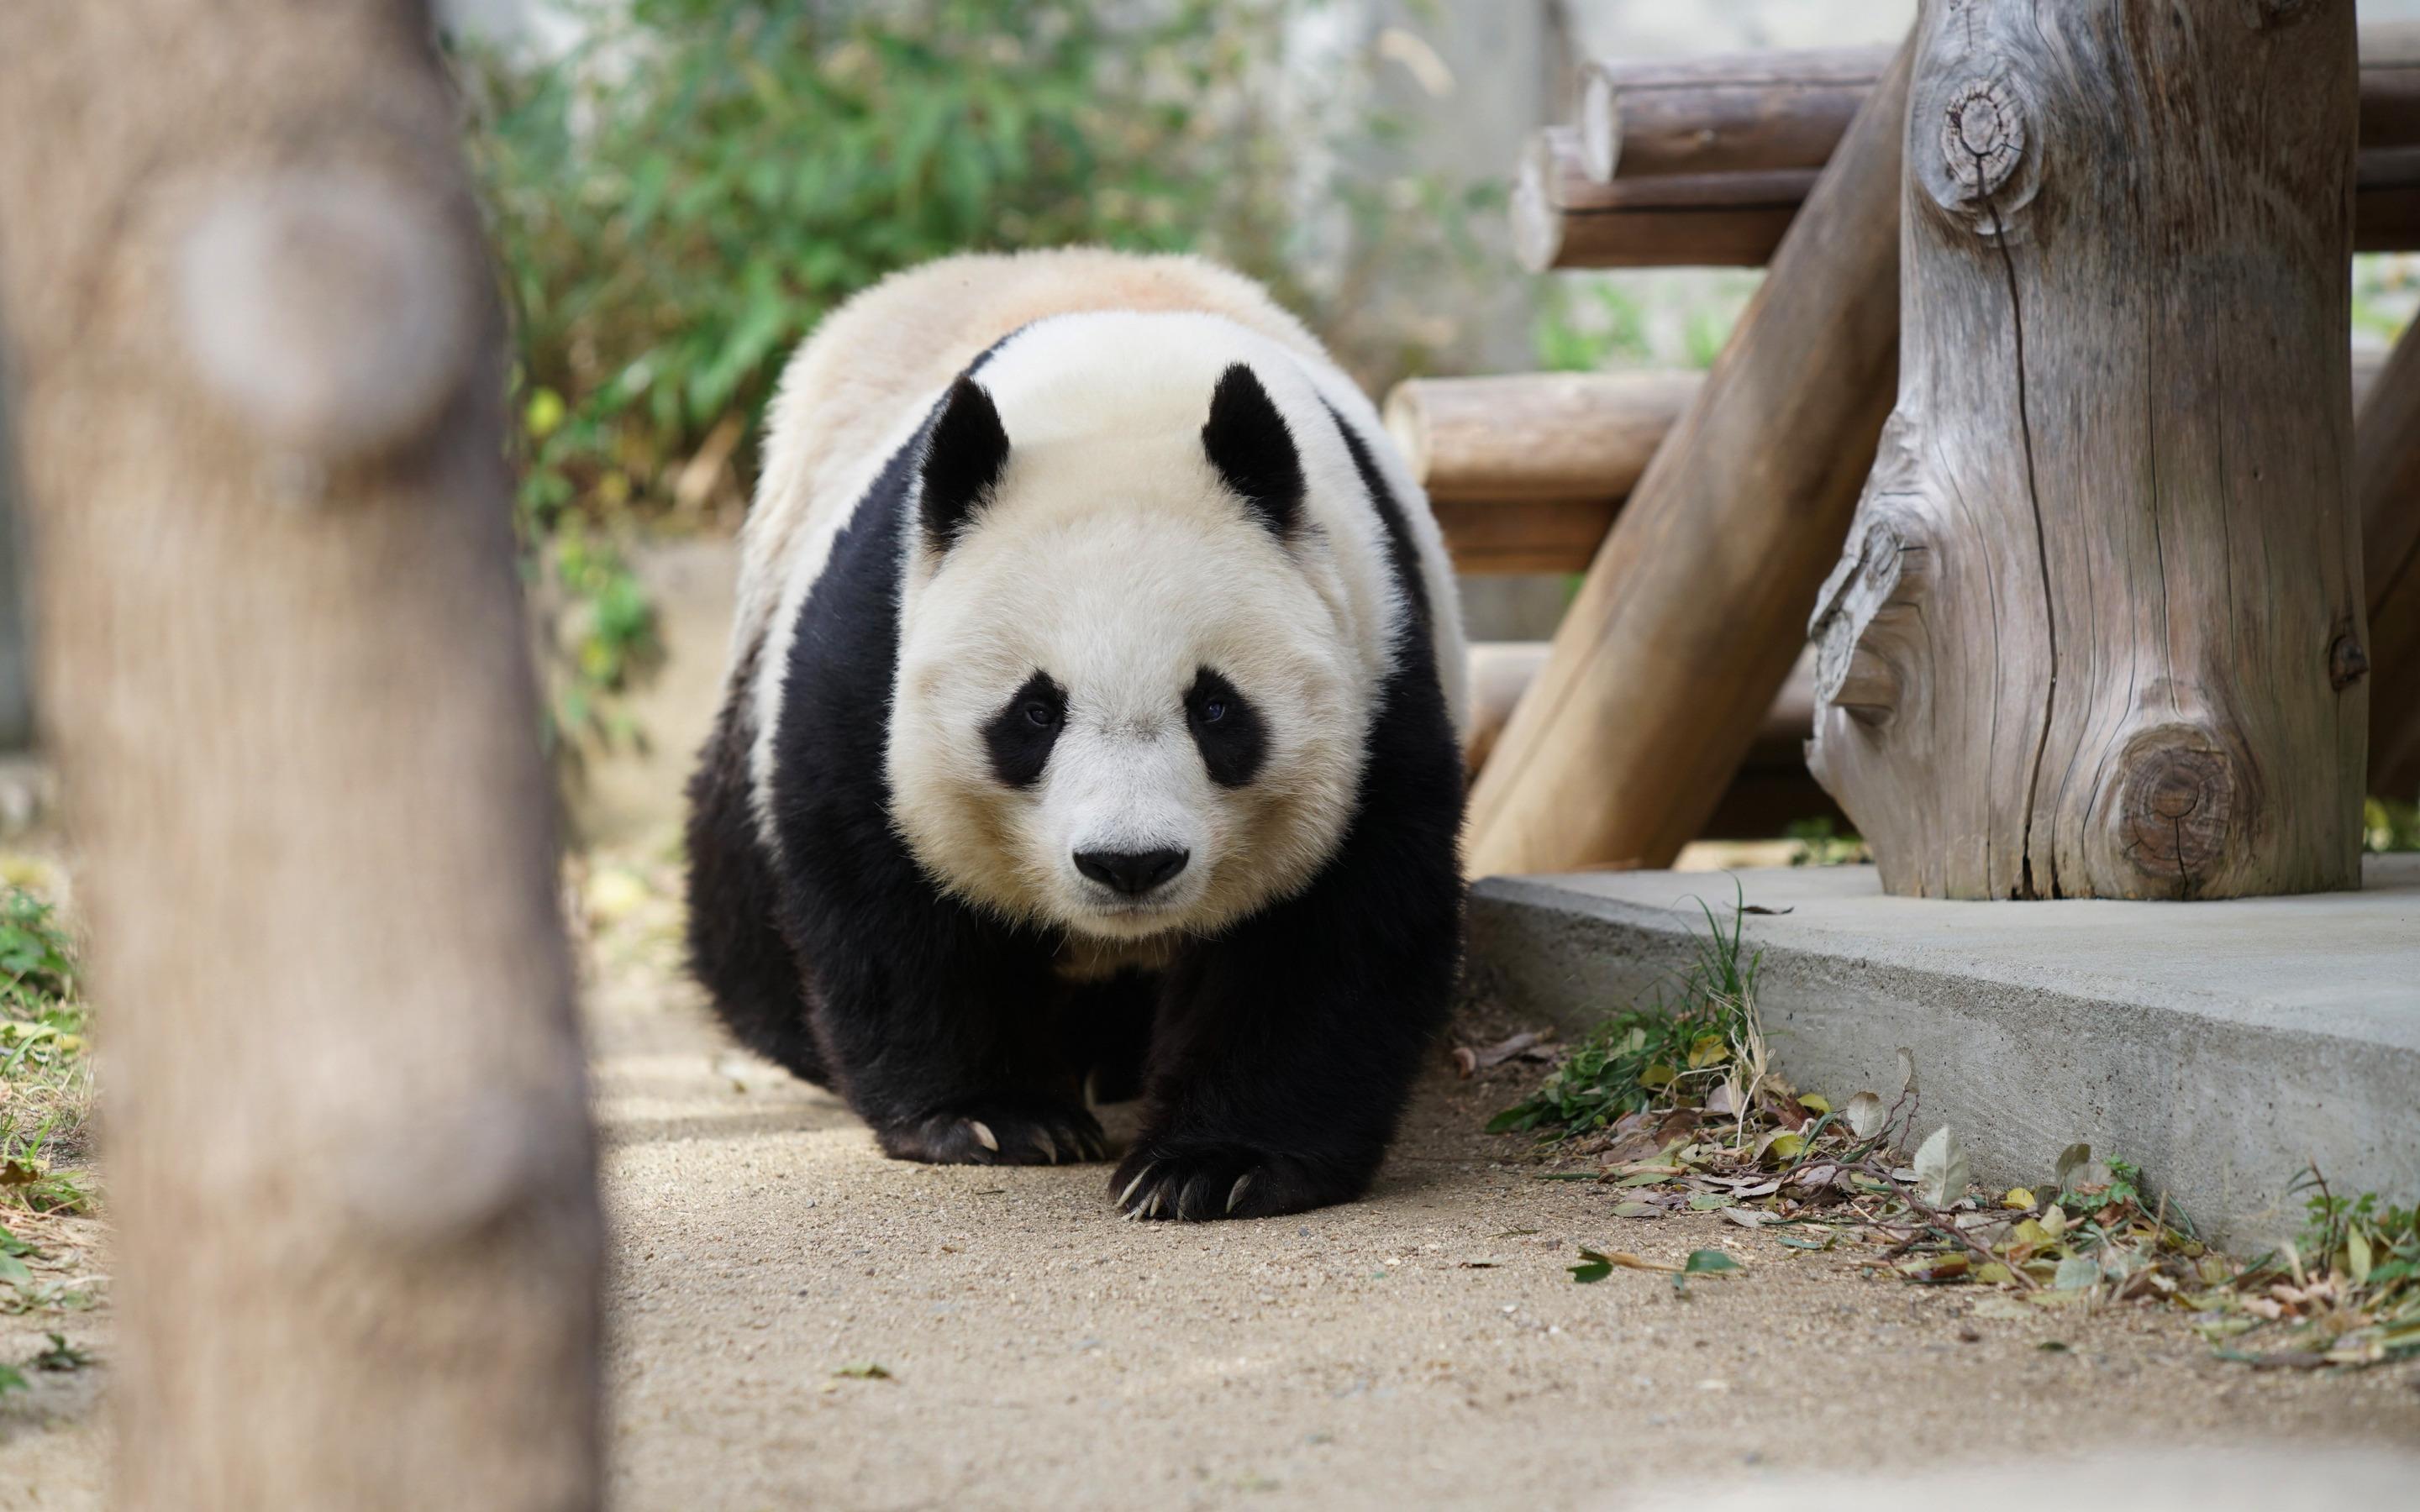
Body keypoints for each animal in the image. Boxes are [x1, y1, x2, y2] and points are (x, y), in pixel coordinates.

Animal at [685, 249, 1470, 1221]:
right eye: (1035, 712)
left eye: (1215, 709)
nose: (1130, 865)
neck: (1128, 391)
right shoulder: (875, 638)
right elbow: (881, 877)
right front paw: (994, 1118)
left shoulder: (1375, 658)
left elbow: (1336, 923)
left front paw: (1213, 1164)